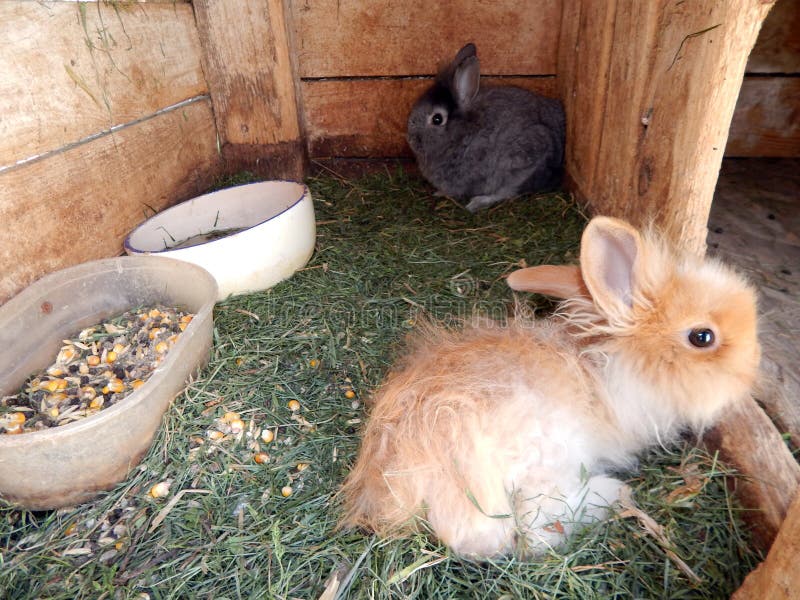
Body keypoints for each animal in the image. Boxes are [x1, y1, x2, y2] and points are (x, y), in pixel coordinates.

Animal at [339, 216, 760, 558]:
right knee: (520, 535)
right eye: (702, 337)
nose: (753, 366)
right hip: (542, 462)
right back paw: (613, 494)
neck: (613, 361)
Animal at [406, 43, 566, 213]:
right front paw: (439, 192)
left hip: (521, 159)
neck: (461, 135)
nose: (410, 138)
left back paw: (477, 203)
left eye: (437, 119)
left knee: (507, 191)